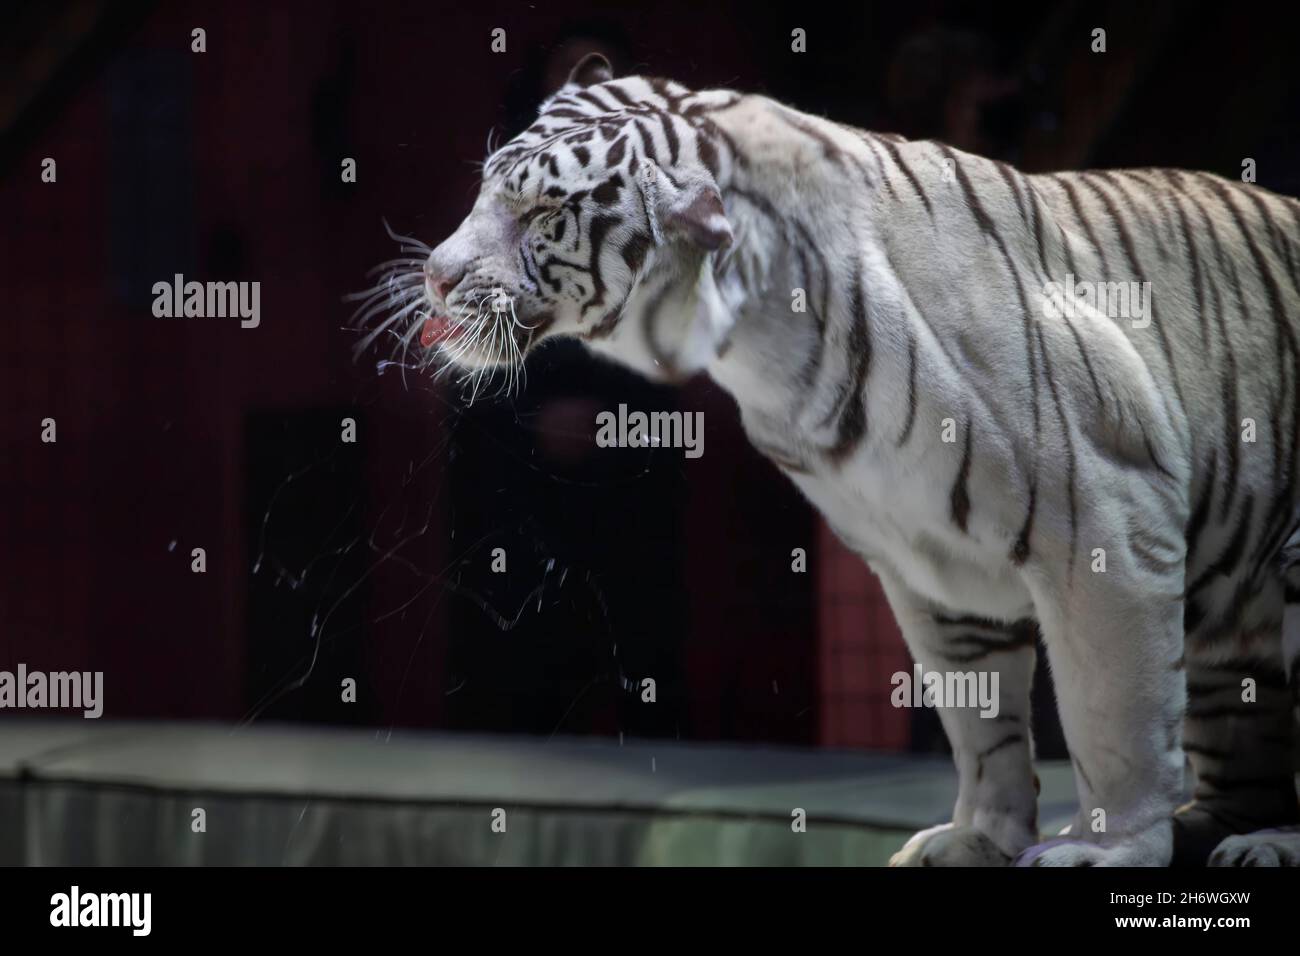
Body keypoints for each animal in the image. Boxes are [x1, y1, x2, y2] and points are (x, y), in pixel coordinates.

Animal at [356, 53, 1300, 866]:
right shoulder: (930, 571)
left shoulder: (1104, 527)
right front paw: (978, 838)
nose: (436, 278)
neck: (756, 350)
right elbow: (981, 721)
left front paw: (1103, 848)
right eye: (486, 188)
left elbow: (1114, 713)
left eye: (544, 218)